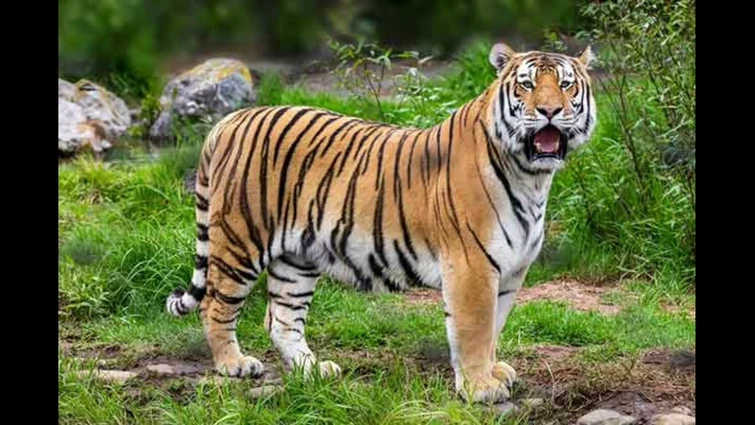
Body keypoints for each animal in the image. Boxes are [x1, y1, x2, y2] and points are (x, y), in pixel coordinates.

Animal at [166, 42, 597, 403]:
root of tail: (229, 121)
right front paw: (479, 388)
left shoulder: (510, 271)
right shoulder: (471, 266)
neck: (533, 178)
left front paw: (493, 373)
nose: (549, 111)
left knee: (281, 319)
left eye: (565, 85)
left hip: (296, 257)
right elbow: (474, 330)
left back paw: (314, 371)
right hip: (241, 241)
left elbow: (493, 329)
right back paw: (233, 365)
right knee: (216, 305)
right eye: (526, 85)